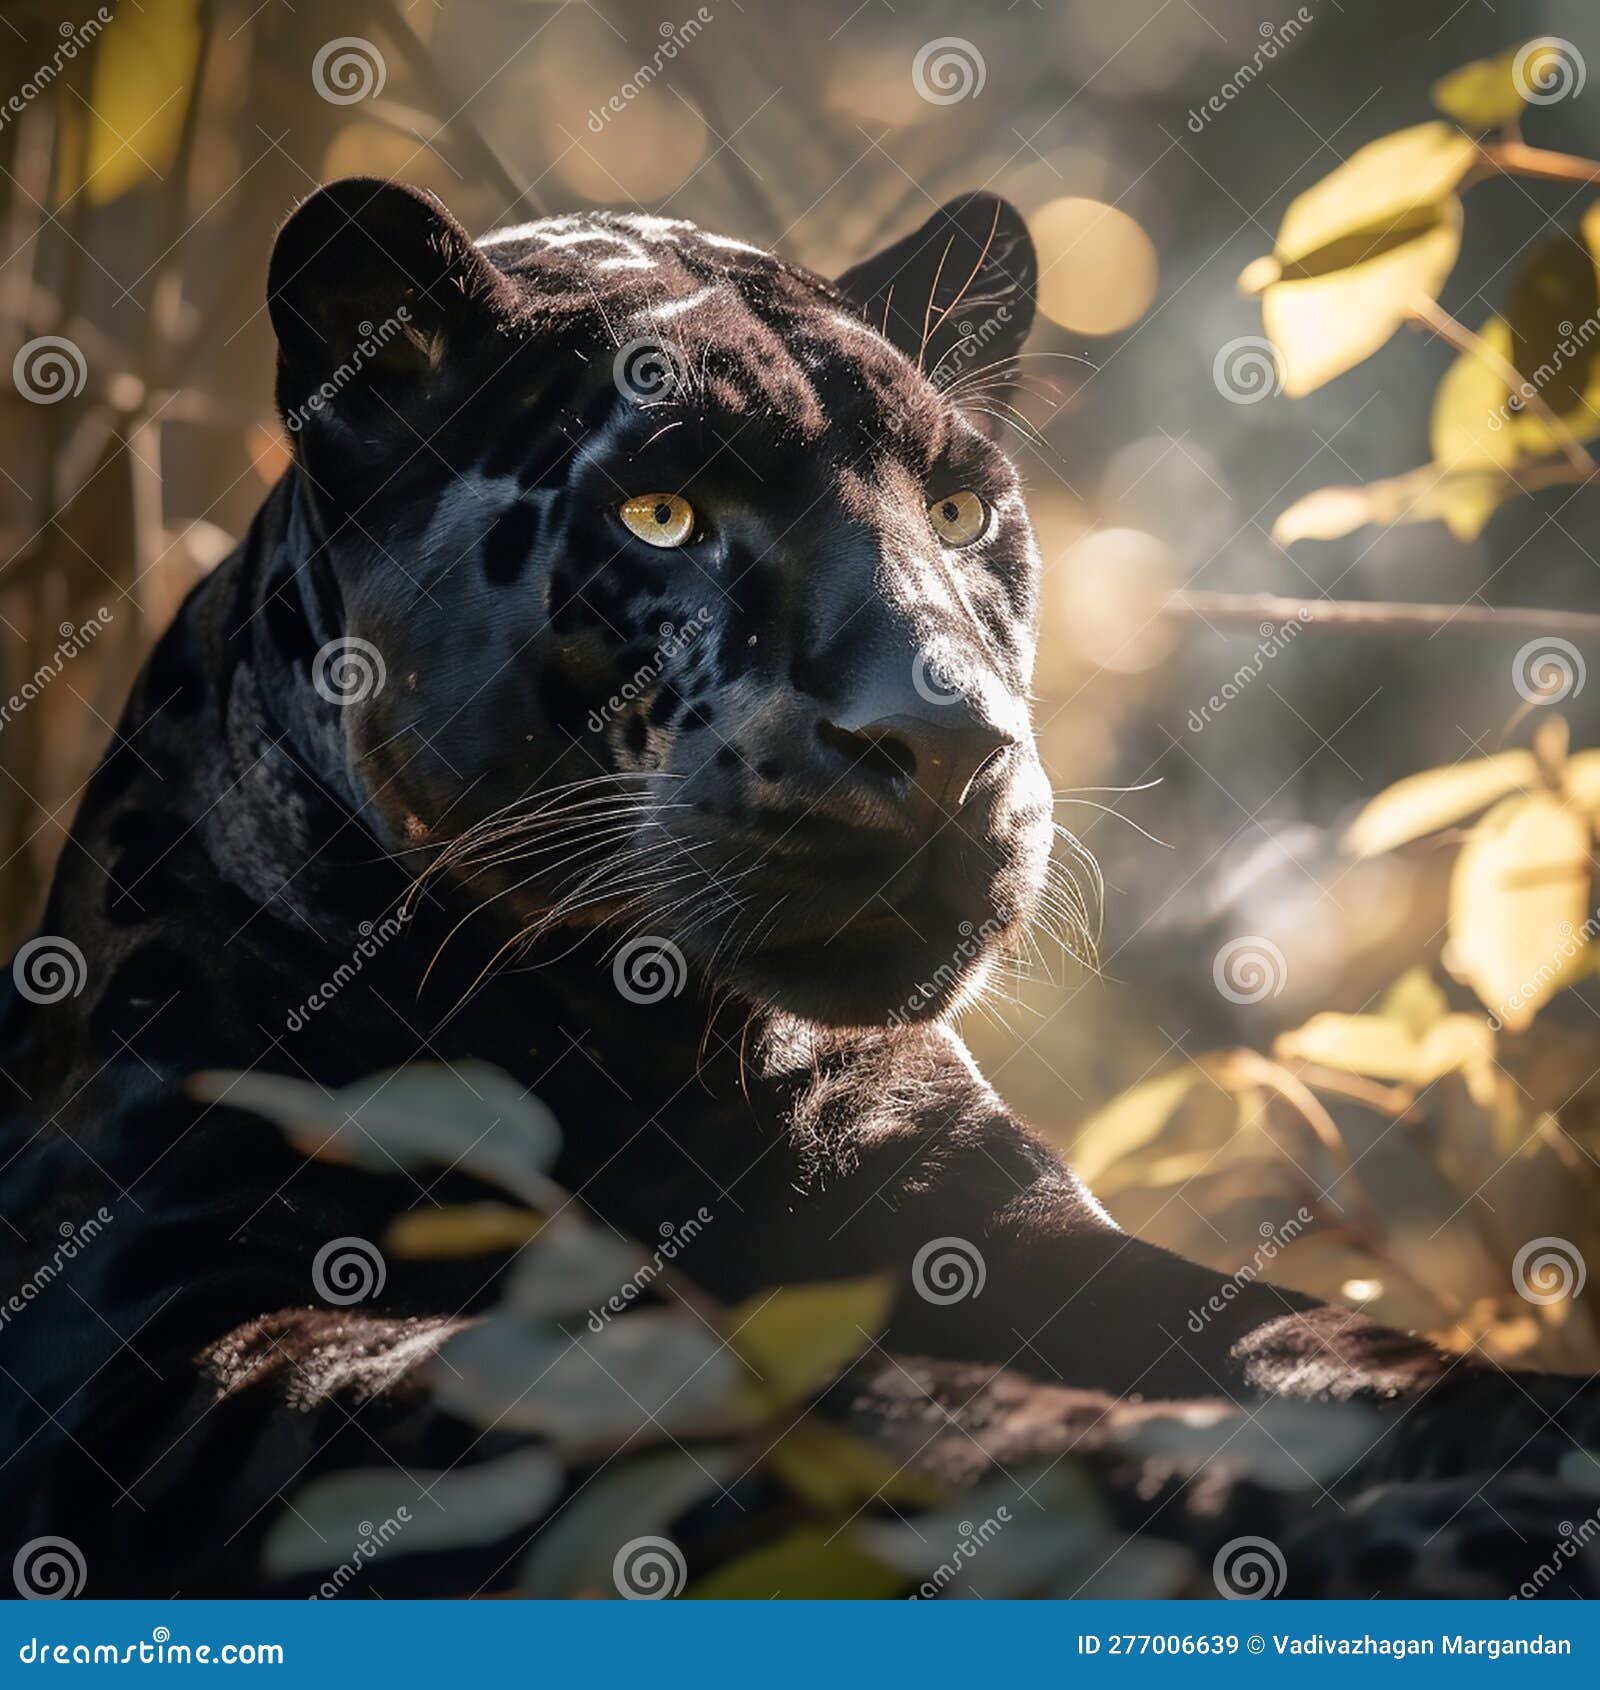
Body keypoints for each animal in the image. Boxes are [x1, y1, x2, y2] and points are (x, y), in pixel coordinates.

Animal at [1, 177, 1596, 1598]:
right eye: (661, 513)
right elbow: (791, 1408)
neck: (646, 1050)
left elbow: (1325, 1350)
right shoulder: (158, 1347)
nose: (950, 740)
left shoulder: (990, 1218)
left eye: (957, 510)